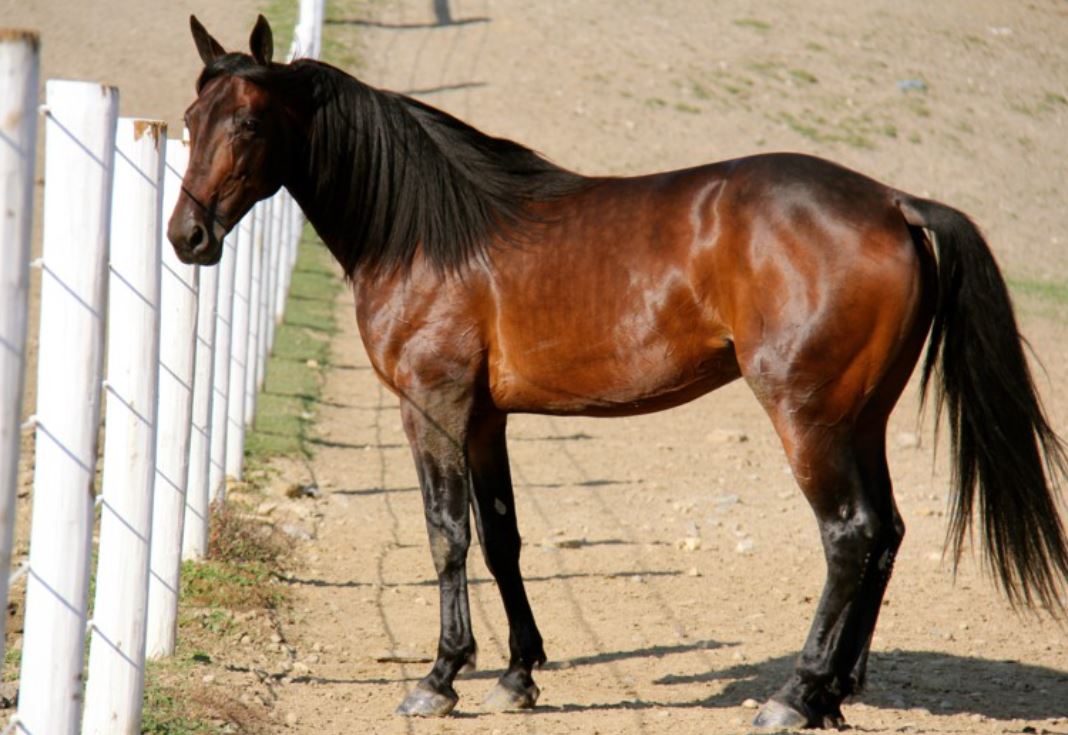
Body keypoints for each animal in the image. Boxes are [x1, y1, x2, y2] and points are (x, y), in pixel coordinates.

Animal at [168, 15, 1068, 729]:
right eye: (189, 117)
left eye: (246, 122)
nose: (187, 236)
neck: (432, 232)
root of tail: (894, 203)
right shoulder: (487, 416)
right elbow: (502, 537)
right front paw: (517, 673)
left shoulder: (433, 406)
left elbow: (446, 534)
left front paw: (440, 675)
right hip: (861, 417)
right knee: (885, 535)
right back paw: (835, 692)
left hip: (808, 416)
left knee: (850, 536)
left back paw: (795, 693)